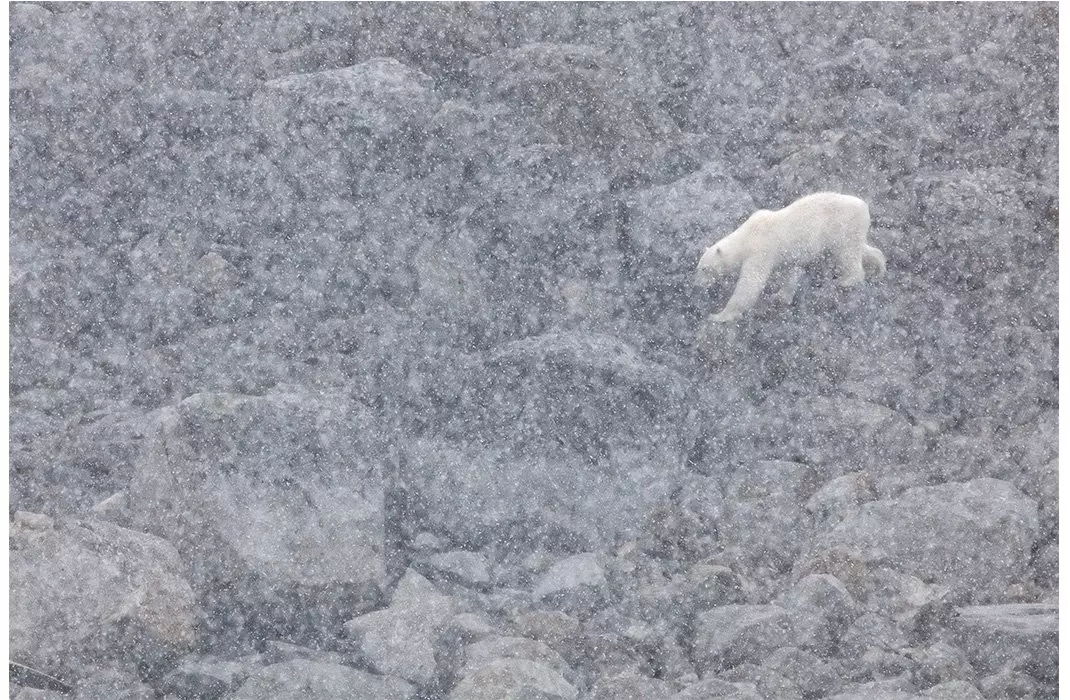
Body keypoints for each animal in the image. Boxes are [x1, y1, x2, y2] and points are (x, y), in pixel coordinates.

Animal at [697, 191, 881, 323]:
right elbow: (789, 273)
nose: (697, 284)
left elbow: (750, 284)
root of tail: (864, 206)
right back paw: (879, 266)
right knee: (861, 249)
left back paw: (846, 280)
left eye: (705, 269)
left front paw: (718, 316)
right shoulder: (784, 255)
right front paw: (780, 296)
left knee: (847, 255)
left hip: (843, 227)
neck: (747, 237)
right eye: (698, 268)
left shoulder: (761, 251)